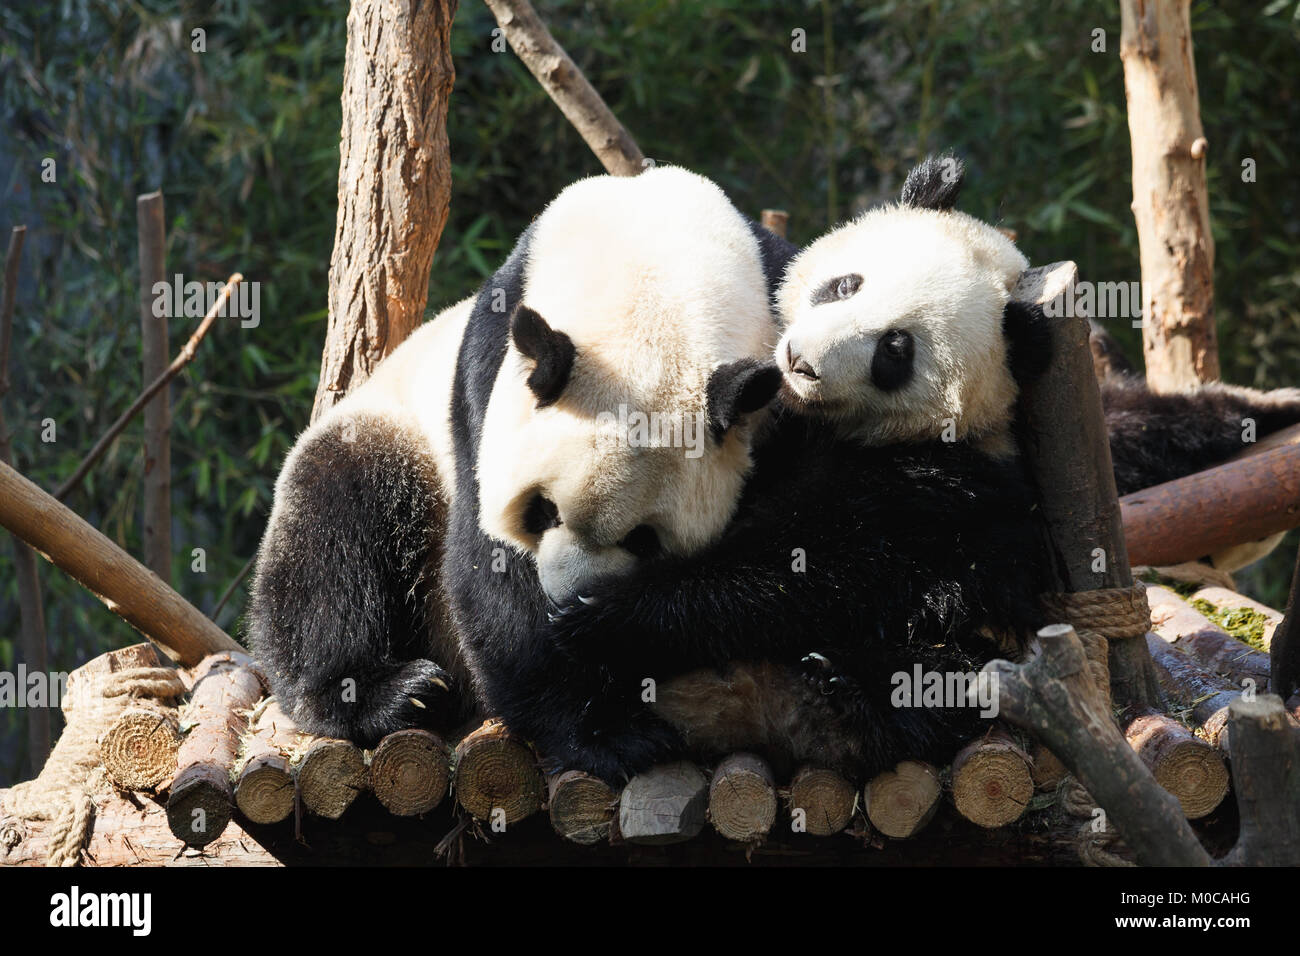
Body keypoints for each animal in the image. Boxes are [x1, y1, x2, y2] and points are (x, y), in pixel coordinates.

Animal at [248, 166, 788, 749]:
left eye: (645, 539)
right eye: (542, 510)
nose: (565, 601)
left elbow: (785, 563)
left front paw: (610, 630)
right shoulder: (485, 374)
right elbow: (490, 567)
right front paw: (605, 732)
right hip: (393, 436)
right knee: (332, 533)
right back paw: (390, 693)